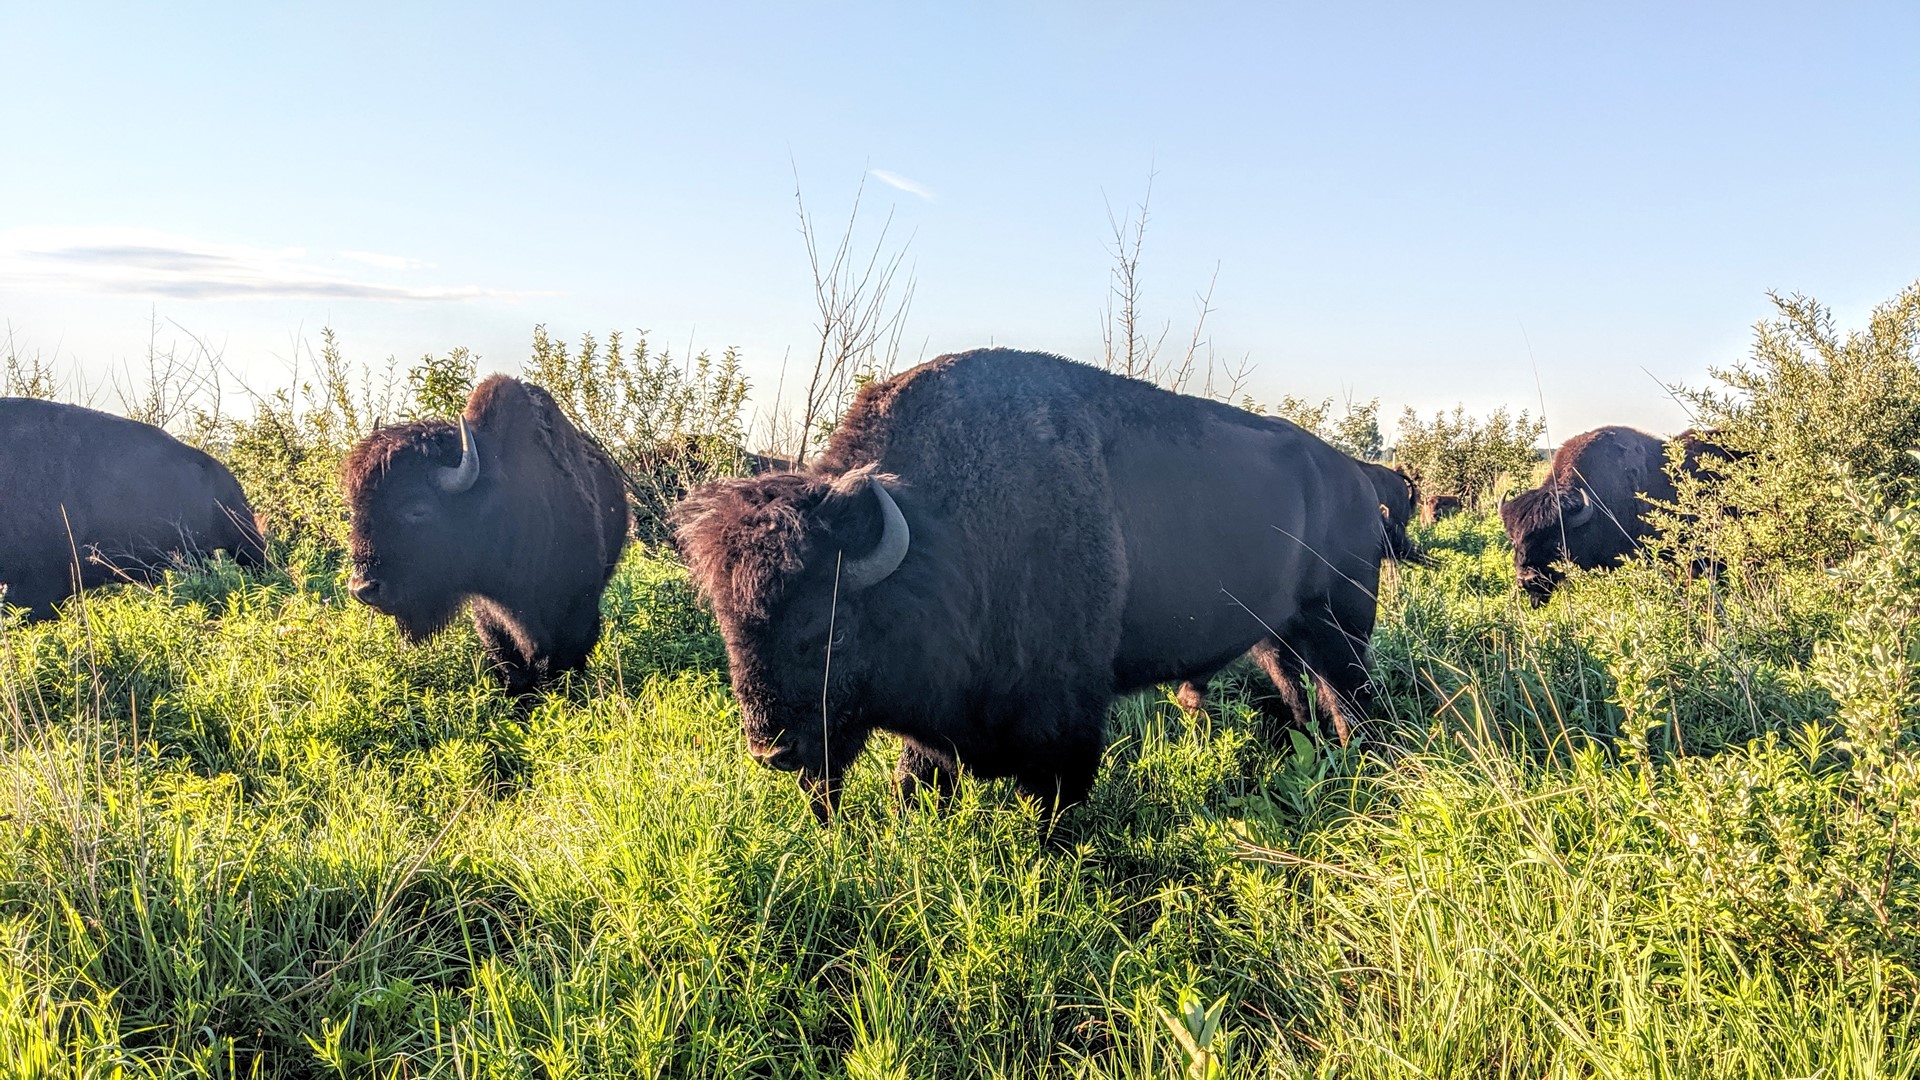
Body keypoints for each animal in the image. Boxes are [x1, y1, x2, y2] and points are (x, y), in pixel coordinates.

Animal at [672, 349, 1388, 822]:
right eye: (731, 629)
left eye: (834, 629)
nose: (773, 750)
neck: (934, 533)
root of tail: (1356, 478)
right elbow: (914, 781)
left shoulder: (1063, 717)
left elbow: (1052, 804)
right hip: (1277, 637)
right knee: (1301, 696)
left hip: (1340, 626)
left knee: (1351, 704)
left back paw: (1361, 770)